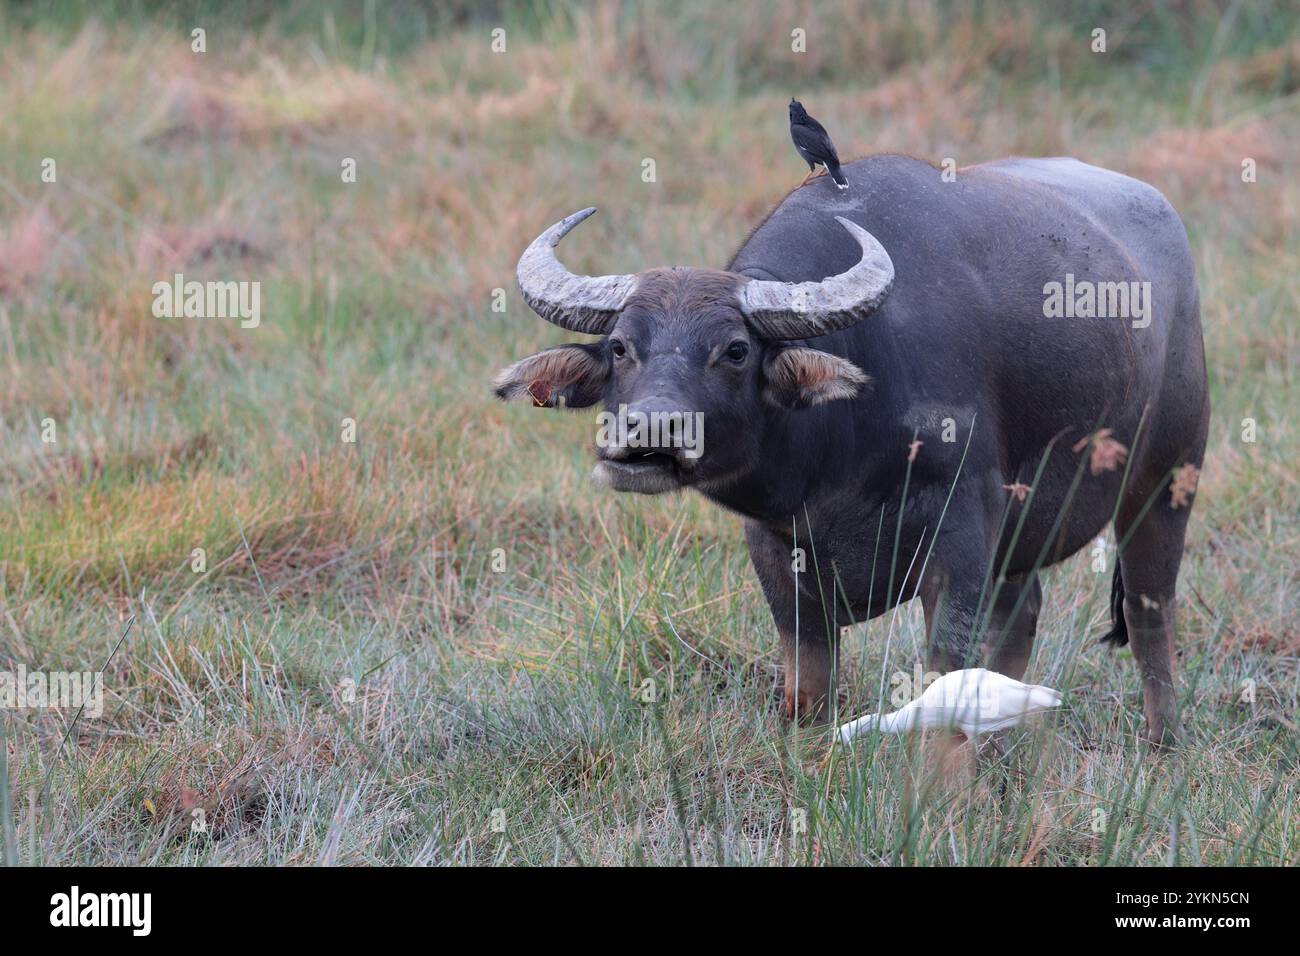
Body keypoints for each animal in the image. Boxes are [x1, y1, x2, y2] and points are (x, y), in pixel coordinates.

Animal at [494, 154, 1209, 745]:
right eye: (621, 346)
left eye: (735, 349)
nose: (649, 431)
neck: (835, 459)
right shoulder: (780, 561)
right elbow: (809, 686)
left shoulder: (959, 545)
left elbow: (945, 687)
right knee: (1023, 616)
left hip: (1166, 481)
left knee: (1150, 612)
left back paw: (1162, 743)